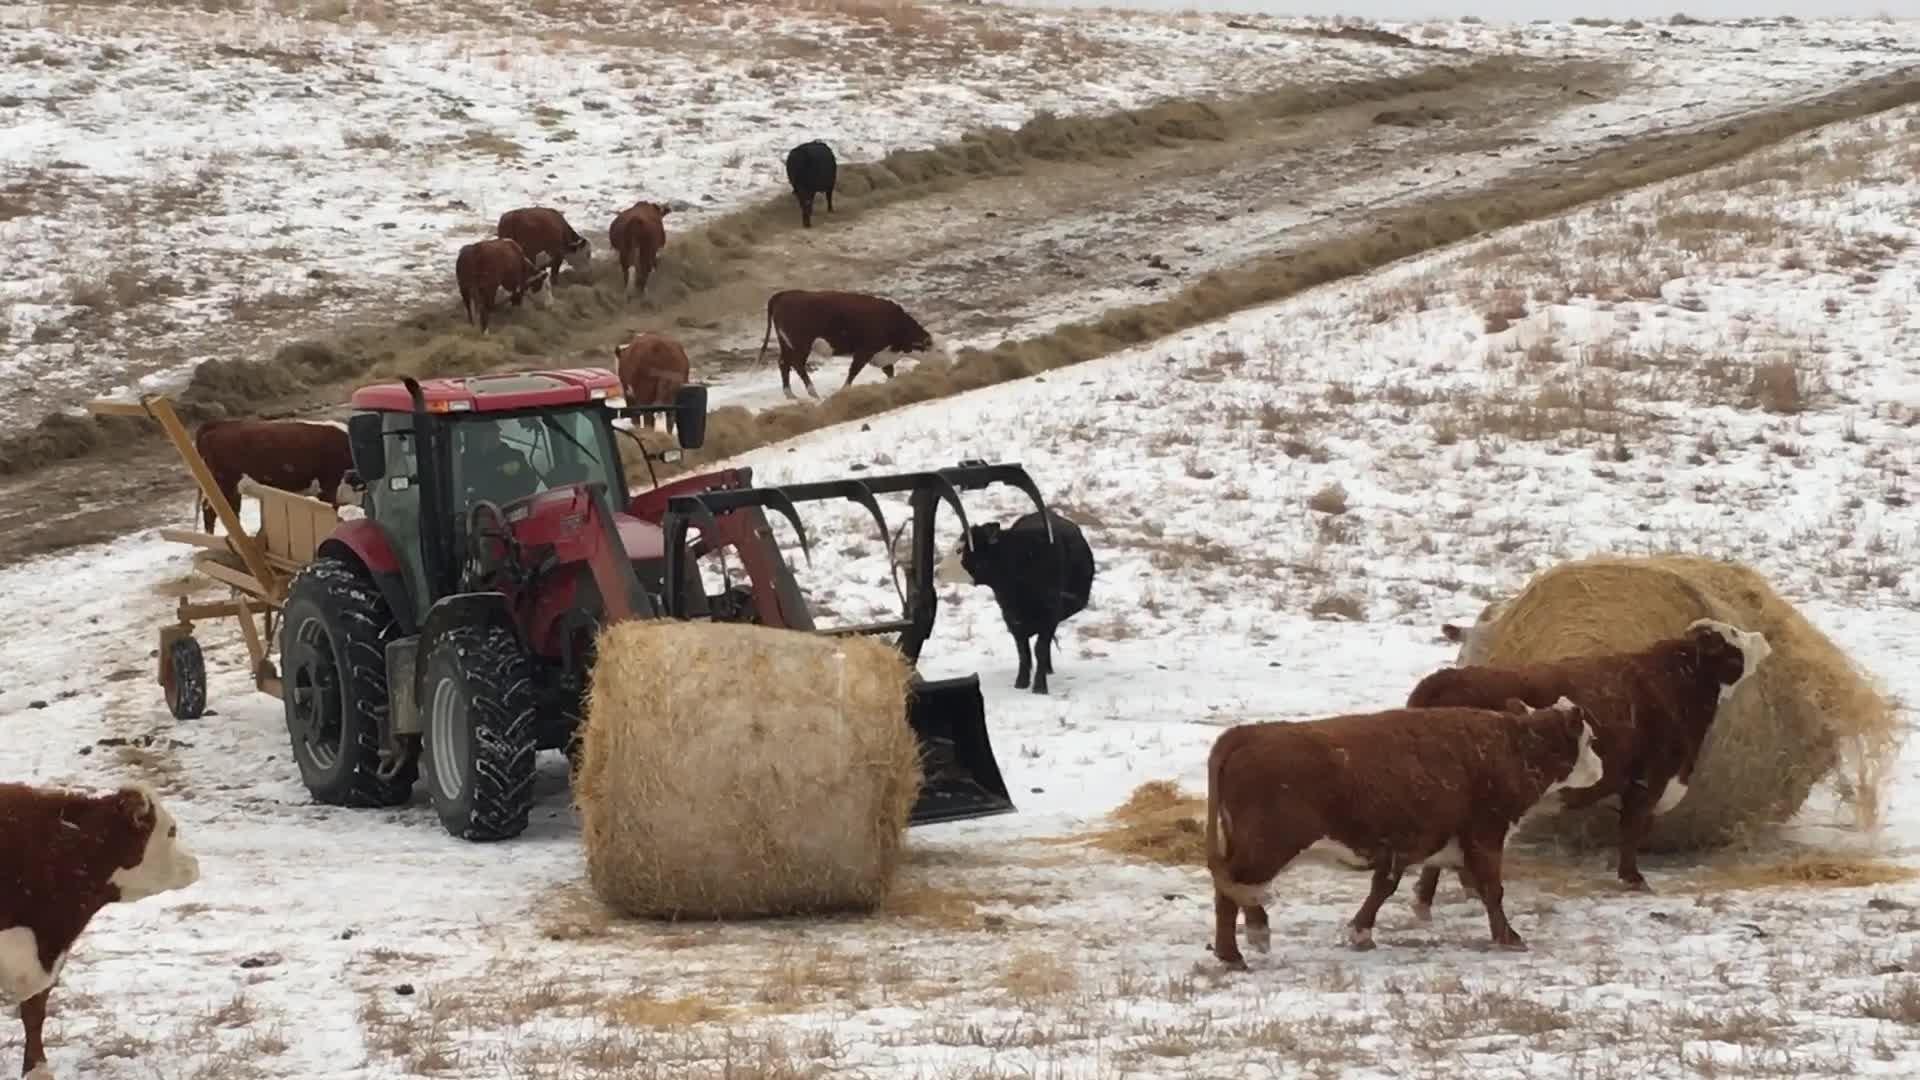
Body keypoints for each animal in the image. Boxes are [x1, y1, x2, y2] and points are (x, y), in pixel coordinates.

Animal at [193, 418, 354, 533]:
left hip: (231, 488)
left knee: (231, 511)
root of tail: (219, 424)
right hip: (222, 483)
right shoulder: (329, 488)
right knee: (210, 511)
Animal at [756, 289, 934, 400]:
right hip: (801, 344)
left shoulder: (882, 354)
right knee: (797, 364)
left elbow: (889, 371)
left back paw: (790, 395)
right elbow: (853, 371)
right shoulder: (865, 350)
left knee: (784, 363)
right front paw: (844, 391)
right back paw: (813, 392)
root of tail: (784, 294)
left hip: (786, 344)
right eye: (936, 349)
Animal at [934, 509, 1094, 695]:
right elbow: (1023, 650)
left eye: (960, 549)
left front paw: (1039, 687)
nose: (937, 571)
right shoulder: (1011, 616)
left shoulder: (1049, 614)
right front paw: (1021, 682)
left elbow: (1039, 648)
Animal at [1205, 697, 1604, 968]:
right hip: (1266, 847)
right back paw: (1236, 951)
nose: (1600, 768)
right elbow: (1492, 889)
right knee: (1231, 888)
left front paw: (1361, 933)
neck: (1511, 747)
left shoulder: (1408, 845)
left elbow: (1384, 887)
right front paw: (1510, 938)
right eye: (1589, 740)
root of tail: (1246, 733)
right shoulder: (1484, 836)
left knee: (1235, 889)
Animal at [1403, 618, 1772, 910]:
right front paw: (1633, 879)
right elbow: (1632, 831)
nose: (1761, 638)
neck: (1673, 683)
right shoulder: (1648, 781)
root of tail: (1444, 679)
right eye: (1732, 635)